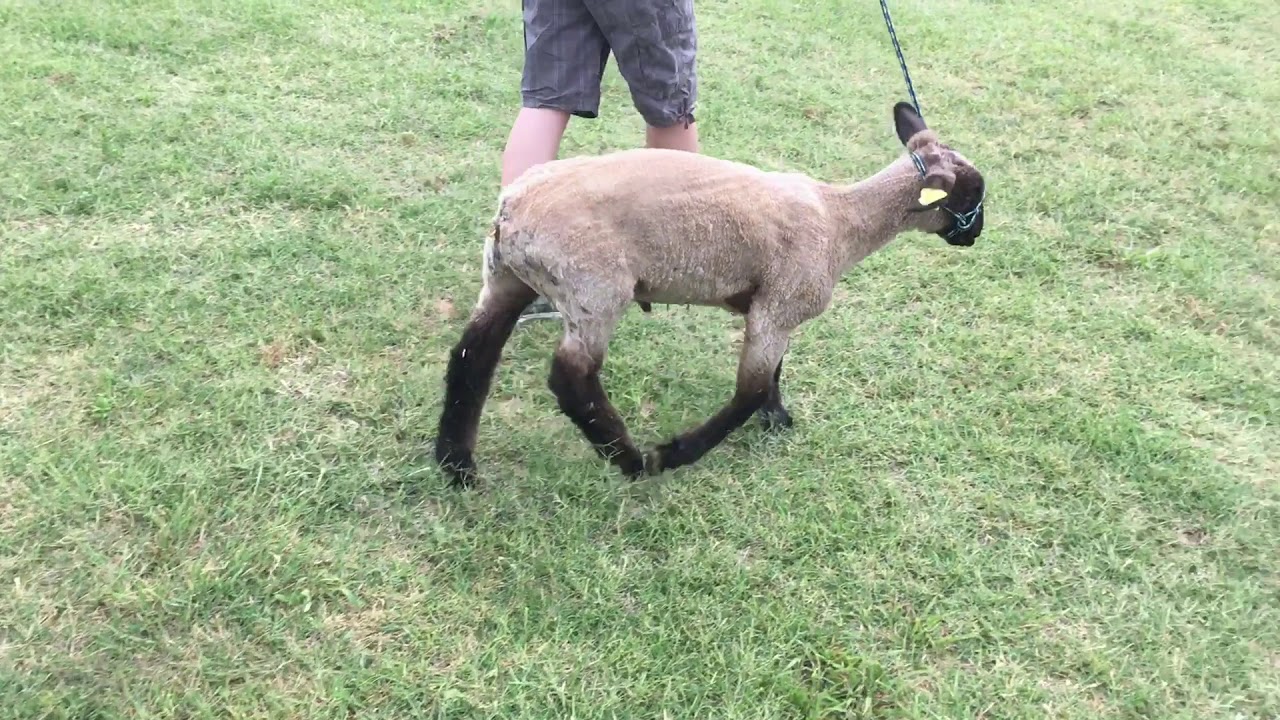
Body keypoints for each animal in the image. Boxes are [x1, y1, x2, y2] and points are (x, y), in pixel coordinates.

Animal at [433, 101, 986, 488]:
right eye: (974, 195)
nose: (974, 237)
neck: (842, 222)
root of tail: (512, 211)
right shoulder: (778, 307)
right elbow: (750, 390)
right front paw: (677, 452)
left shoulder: (771, 308)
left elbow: (773, 374)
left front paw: (777, 418)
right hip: (594, 287)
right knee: (570, 378)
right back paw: (632, 461)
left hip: (508, 278)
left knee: (472, 355)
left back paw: (456, 466)